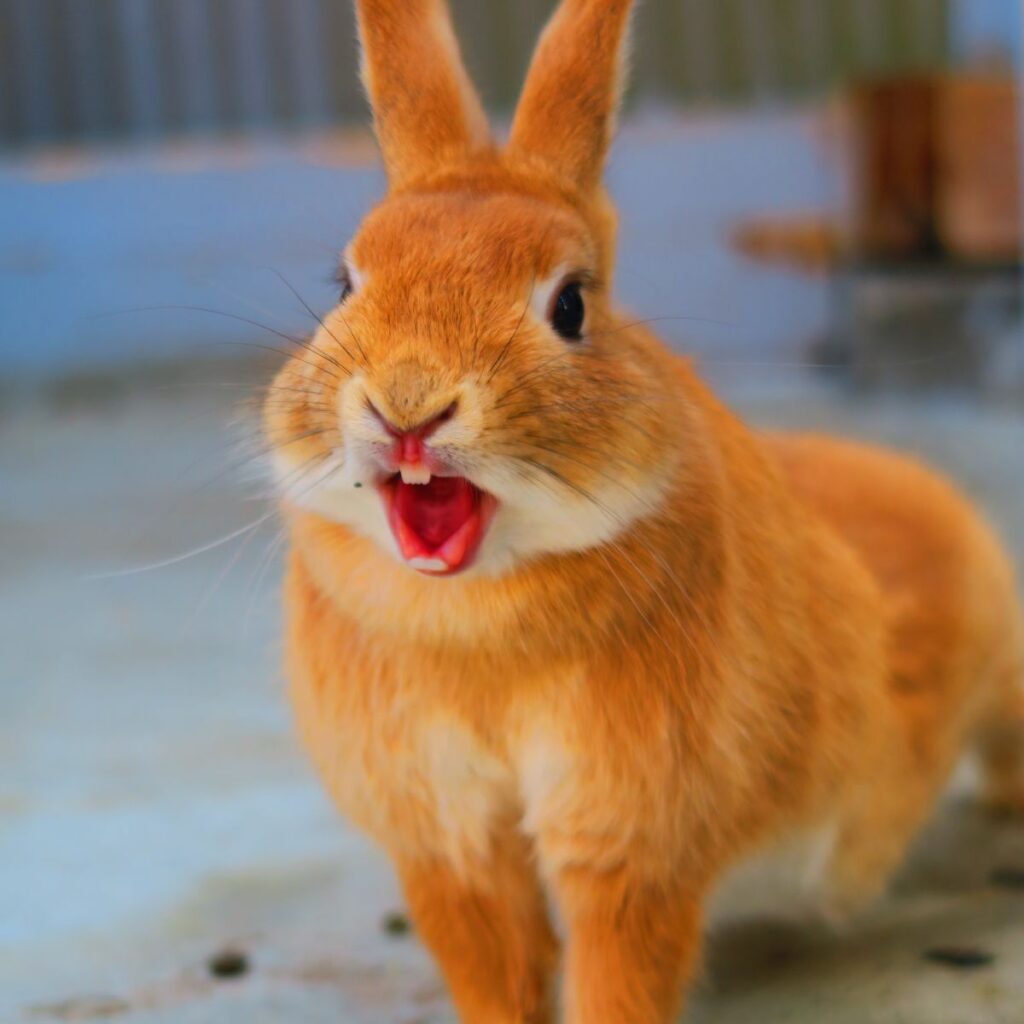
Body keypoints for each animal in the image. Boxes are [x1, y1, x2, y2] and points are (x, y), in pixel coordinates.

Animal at [264, 1, 1024, 1021]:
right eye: (344, 285)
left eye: (571, 306)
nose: (409, 404)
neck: (474, 611)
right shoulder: (448, 840)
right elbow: (492, 963)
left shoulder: (633, 846)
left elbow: (615, 972)